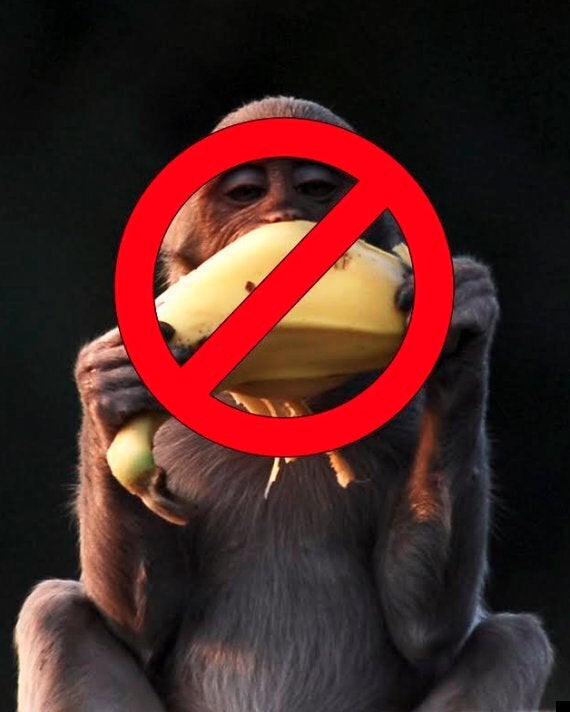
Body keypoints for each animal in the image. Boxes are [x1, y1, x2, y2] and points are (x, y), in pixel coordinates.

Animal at [15, 97, 553, 711]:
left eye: (315, 189)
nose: (282, 216)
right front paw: (109, 388)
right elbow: (139, 626)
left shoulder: (404, 419)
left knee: (515, 637)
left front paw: (462, 330)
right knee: (54, 611)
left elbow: (425, 630)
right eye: (247, 193)